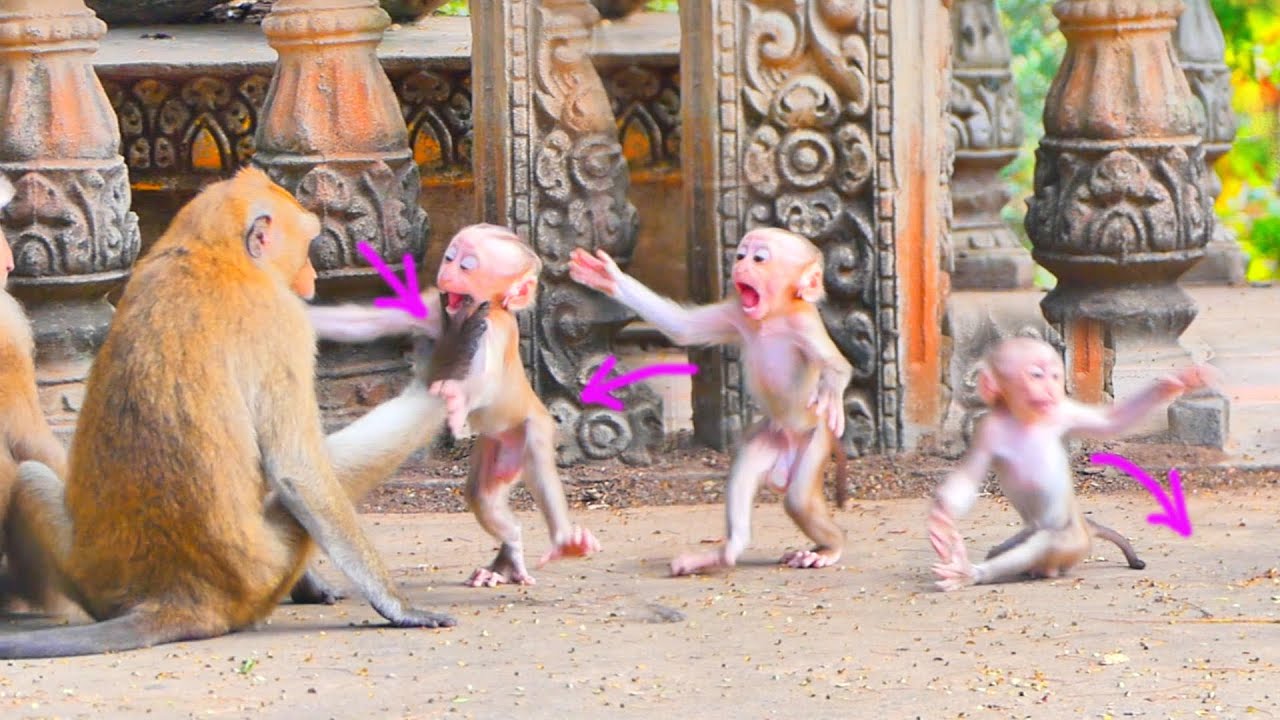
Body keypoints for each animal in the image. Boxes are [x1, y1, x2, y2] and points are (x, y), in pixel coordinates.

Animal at [0, 167, 483, 659]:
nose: (310, 276)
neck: (211, 251)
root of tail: (175, 597)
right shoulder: (283, 321)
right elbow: (297, 470)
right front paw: (396, 605)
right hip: (265, 570)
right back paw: (443, 371)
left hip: (91, 571)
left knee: (31, 480)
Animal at [306, 223, 601, 588]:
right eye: (450, 257)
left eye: (467, 265)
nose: (447, 271)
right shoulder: (435, 308)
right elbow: (361, 324)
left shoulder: (493, 328)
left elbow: (484, 379)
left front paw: (457, 397)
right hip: (496, 446)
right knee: (483, 497)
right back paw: (511, 549)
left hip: (532, 426)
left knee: (538, 465)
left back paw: (562, 538)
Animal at [569, 226, 854, 576]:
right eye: (742, 255)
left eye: (760, 258)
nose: (740, 266)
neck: (772, 316)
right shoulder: (737, 313)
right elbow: (684, 329)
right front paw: (609, 277)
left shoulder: (803, 324)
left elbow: (835, 365)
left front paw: (831, 392)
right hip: (768, 440)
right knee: (743, 475)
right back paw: (726, 551)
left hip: (814, 440)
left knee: (799, 499)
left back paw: (830, 548)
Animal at [927, 336, 1214, 591]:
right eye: (1036, 375)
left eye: (1054, 375)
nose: (1050, 386)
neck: (1025, 419)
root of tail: (1085, 525)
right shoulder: (987, 431)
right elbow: (968, 477)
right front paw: (941, 519)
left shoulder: (1061, 411)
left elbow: (1111, 422)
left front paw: (1171, 385)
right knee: (1010, 548)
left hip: (1073, 540)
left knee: (1046, 543)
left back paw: (972, 573)